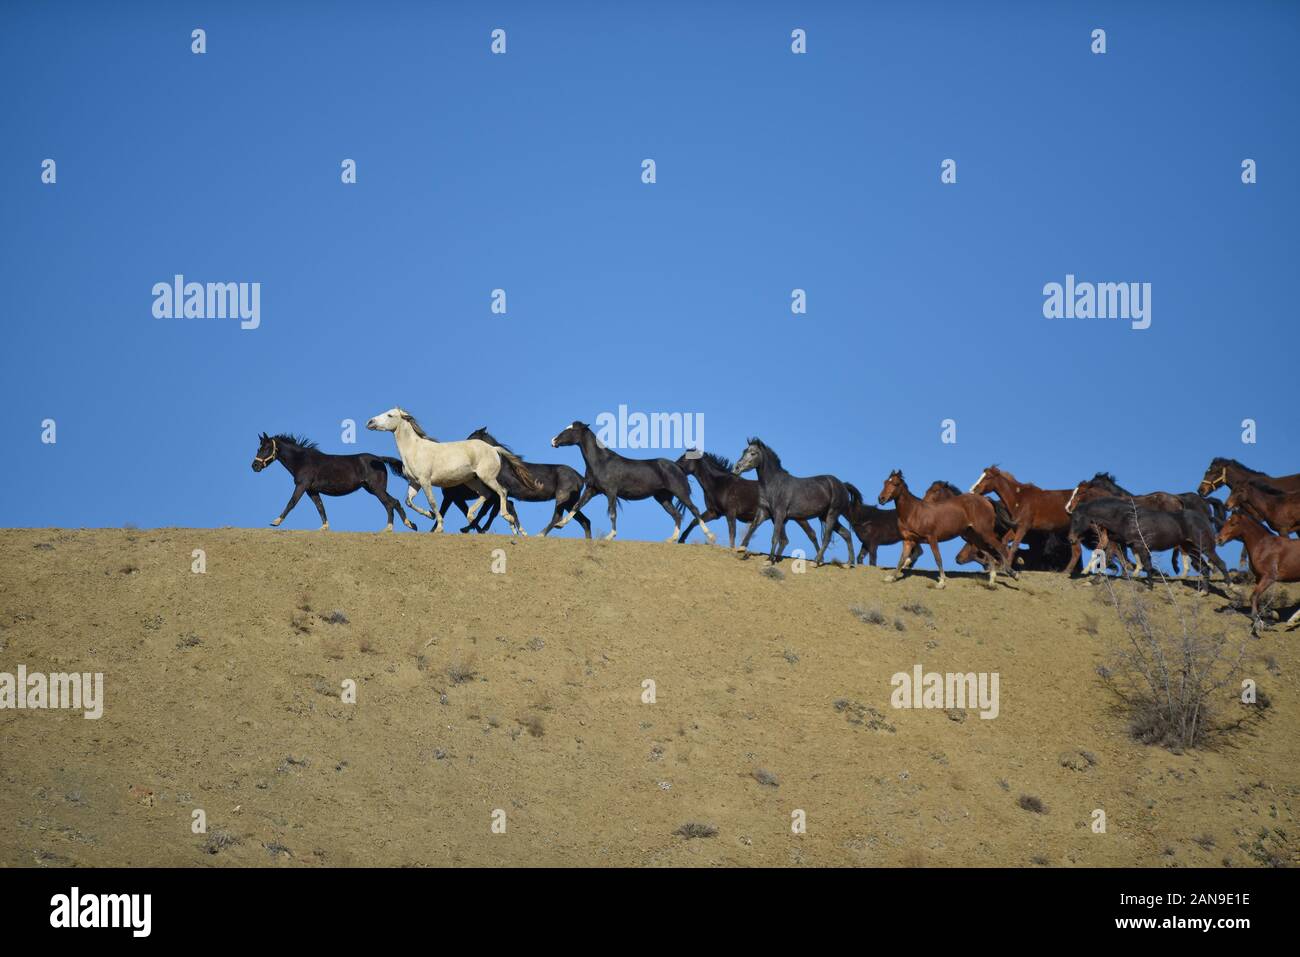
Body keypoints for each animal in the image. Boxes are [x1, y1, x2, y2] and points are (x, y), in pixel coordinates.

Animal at [250, 433, 417, 532]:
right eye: (259, 448)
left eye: (266, 448)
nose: (254, 466)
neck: (301, 460)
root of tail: (379, 459)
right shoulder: (312, 490)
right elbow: (320, 507)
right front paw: (324, 527)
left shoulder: (302, 486)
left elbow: (292, 502)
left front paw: (276, 521)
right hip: (371, 488)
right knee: (393, 502)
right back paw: (407, 525)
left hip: (376, 489)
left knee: (390, 503)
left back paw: (391, 528)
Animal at [364, 408, 542, 535]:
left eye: (390, 415)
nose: (369, 422)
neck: (415, 449)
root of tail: (493, 448)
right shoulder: (414, 482)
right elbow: (409, 501)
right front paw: (424, 518)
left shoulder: (426, 482)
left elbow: (433, 503)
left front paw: (439, 527)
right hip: (472, 480)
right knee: (486, 496)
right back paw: (471, 517)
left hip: (487, 478)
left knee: (501, 493)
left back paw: (506, 518)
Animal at [549, 421, 714, 543]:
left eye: (571, 430)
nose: (553, 441)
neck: (601, 462)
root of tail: (677, 466)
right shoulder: (592, 490)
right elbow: (577, 505)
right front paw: (560, 524)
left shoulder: (611, 492)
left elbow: (612, 513)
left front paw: (610, 536)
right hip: (663, 498)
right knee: (677, 515)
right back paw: (671, 539)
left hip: (680, 492)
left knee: (694, 510)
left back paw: (710, 536)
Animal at [674, 450, 821, 550]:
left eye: (684, 459)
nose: (674, 467)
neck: (719, 484)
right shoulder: (714, 513)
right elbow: (695, 521)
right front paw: (681, 539)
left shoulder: (730, 513)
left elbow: (732, 532)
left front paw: (733, 549)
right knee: (805, 535)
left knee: (807, 535)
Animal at [876, 470, 1011, 587]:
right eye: (885, 482)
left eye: (895, 484)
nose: (881, 499)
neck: (913, 512)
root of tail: (986, 500)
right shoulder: (909, 540)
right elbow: (902, 559)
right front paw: (891, 577)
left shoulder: (932, 538)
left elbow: (938, 558)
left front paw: (941, 582)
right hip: (974, 537)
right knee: (989, 553)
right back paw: (992, 581)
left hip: (985, 533)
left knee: (1001, 548)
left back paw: (1011, 573)